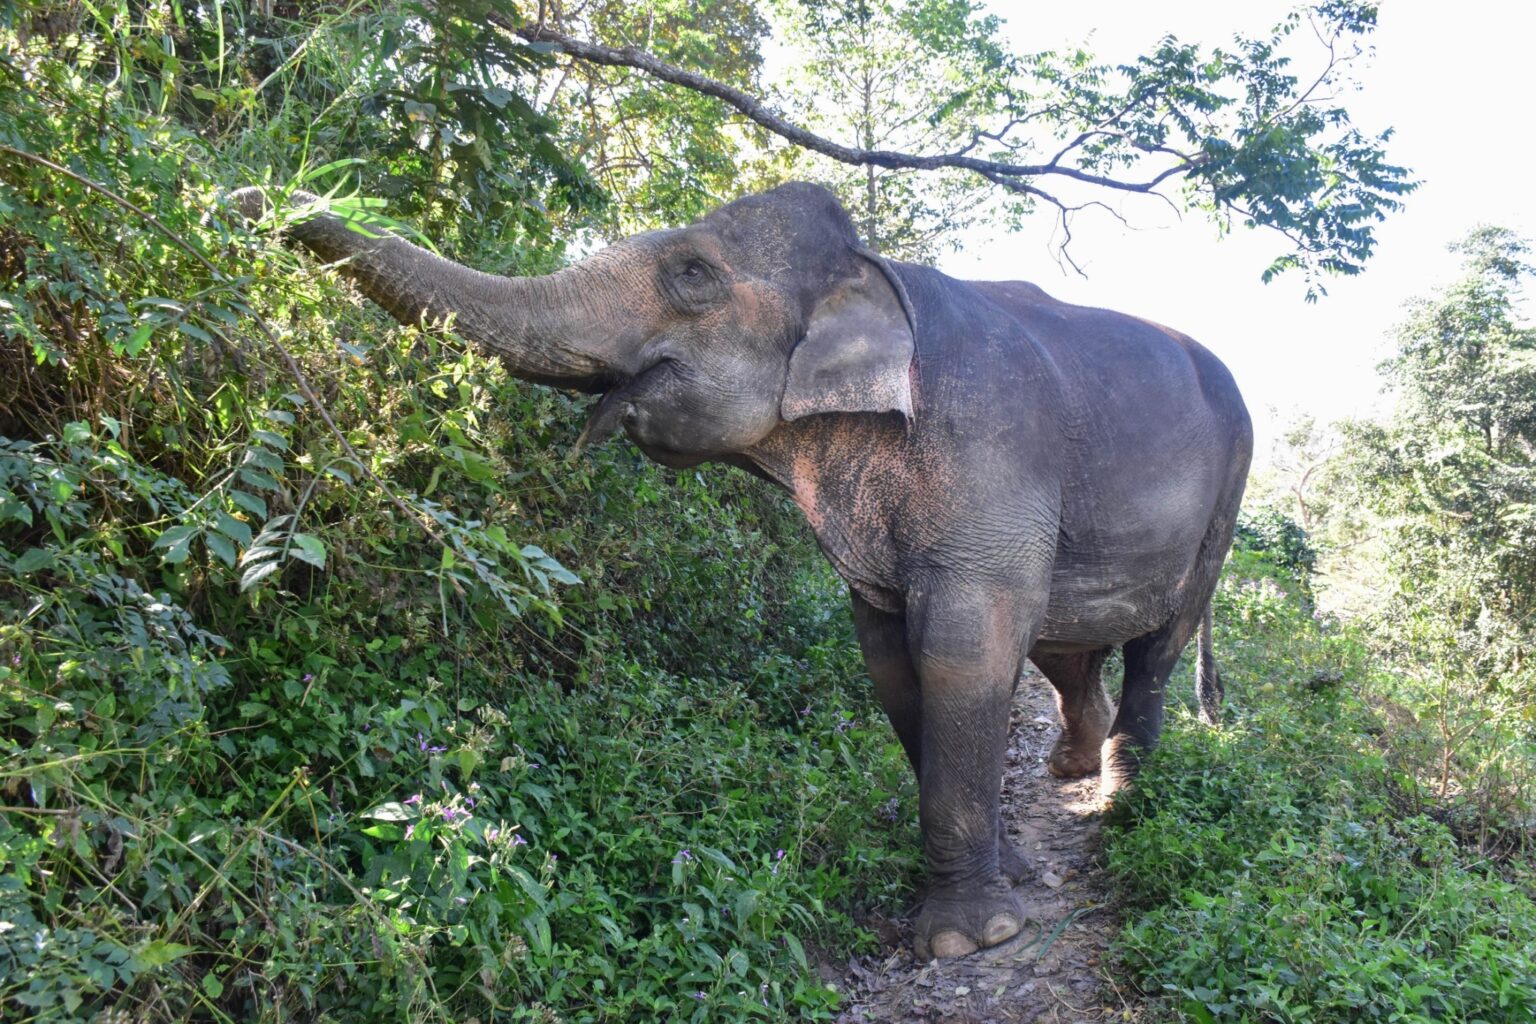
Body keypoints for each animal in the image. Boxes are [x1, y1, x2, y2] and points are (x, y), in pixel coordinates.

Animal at [231, 181, 1252, 960]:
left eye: (691, 275)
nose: (256, 199)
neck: (870, 275)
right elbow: (892, 662)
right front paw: (1015, 878)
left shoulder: (989, 453)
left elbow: (960, 650)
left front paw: (968, 939)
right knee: (1068, 644)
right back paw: (1072, 773)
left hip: (1230, 484)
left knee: (1157, 643)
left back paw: (1123, 804)